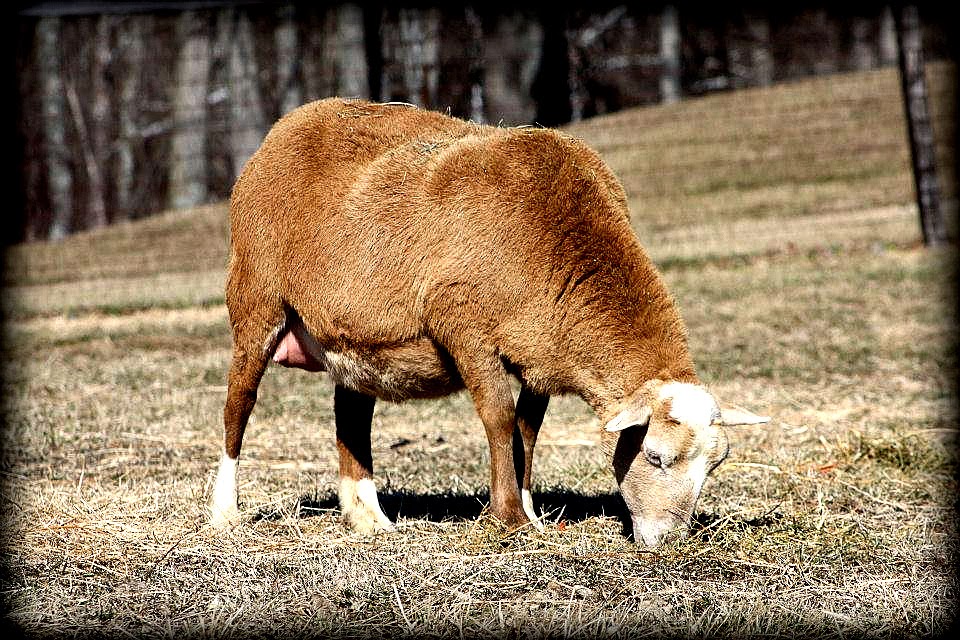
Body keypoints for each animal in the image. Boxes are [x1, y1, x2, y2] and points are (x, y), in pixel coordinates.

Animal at [210, 98, 768, 546]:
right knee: (239, 403)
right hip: (256, 297)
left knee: (351, 415)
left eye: (715, 463)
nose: (671, 542)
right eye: (653, 456)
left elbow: (527, 429)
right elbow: (499, 418)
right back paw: (225, 511)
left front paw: (531, 511)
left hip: (355, 337)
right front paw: (510, 520)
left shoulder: (541, 349)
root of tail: (289, 123)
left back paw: (370, 519)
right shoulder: (465, 326)